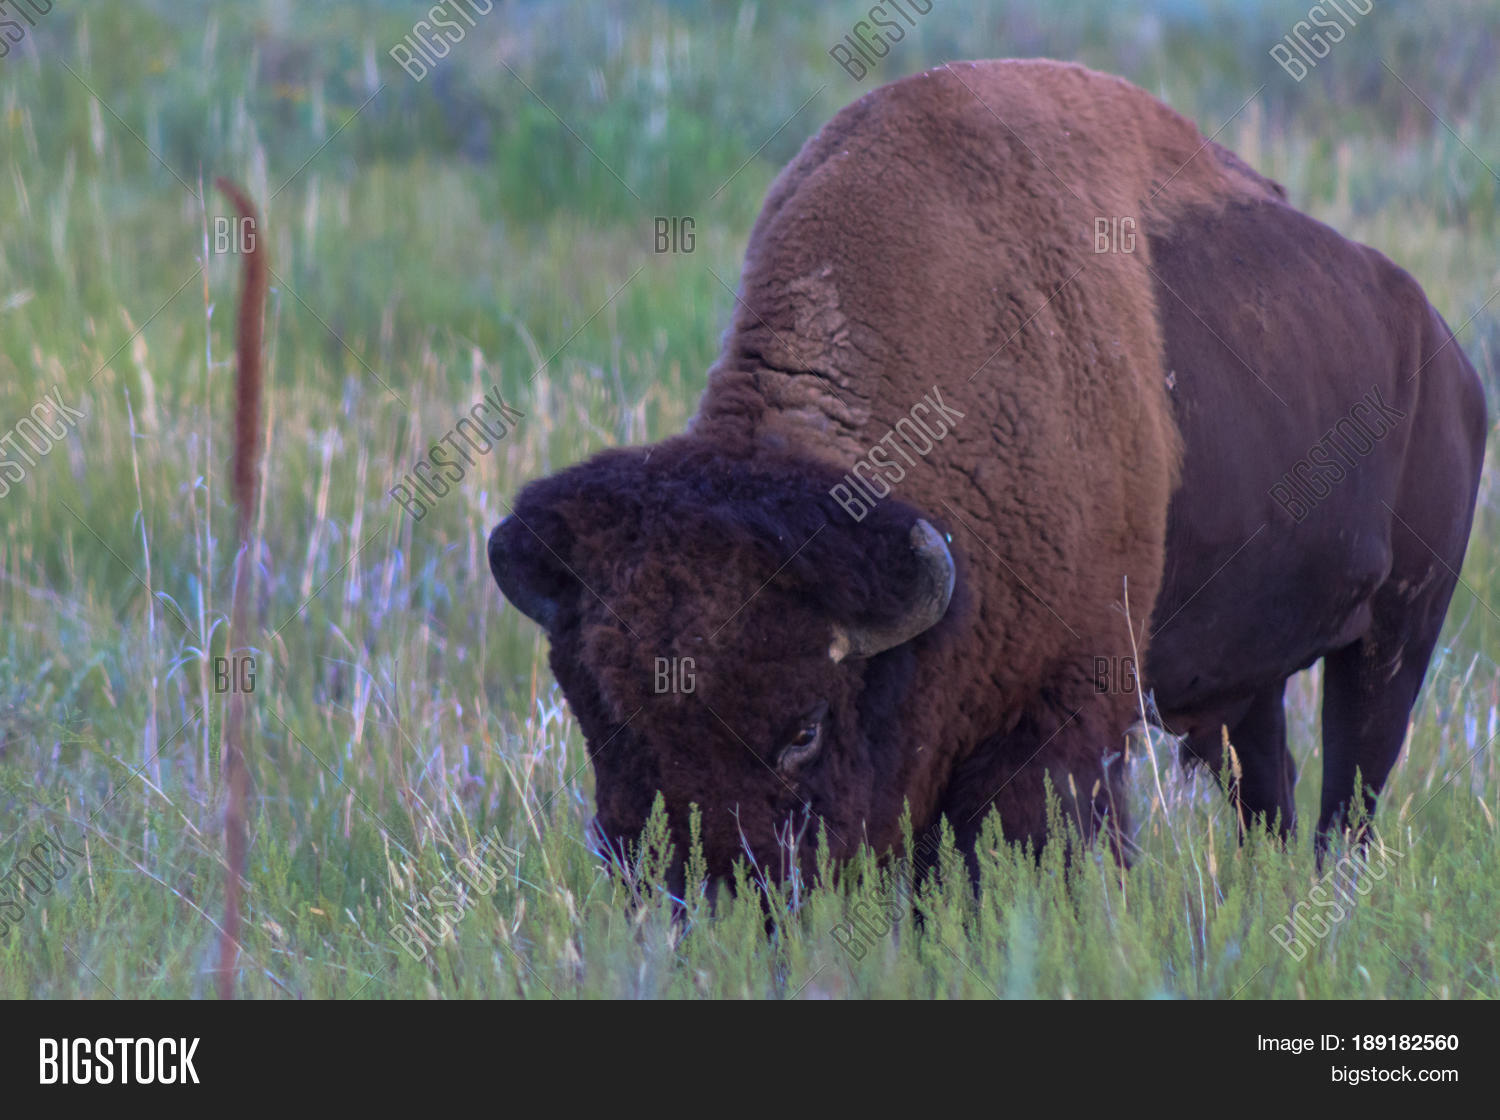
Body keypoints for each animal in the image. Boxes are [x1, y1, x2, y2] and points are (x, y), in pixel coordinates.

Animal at [489, 60, 1485, 885]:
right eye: (604, 719)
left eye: (805, 728)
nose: (704, 893)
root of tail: (1448, 357)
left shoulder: (1068, 712)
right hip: (1258, 684)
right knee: (1266, 786)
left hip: (1398, 634)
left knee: (1351, 791)